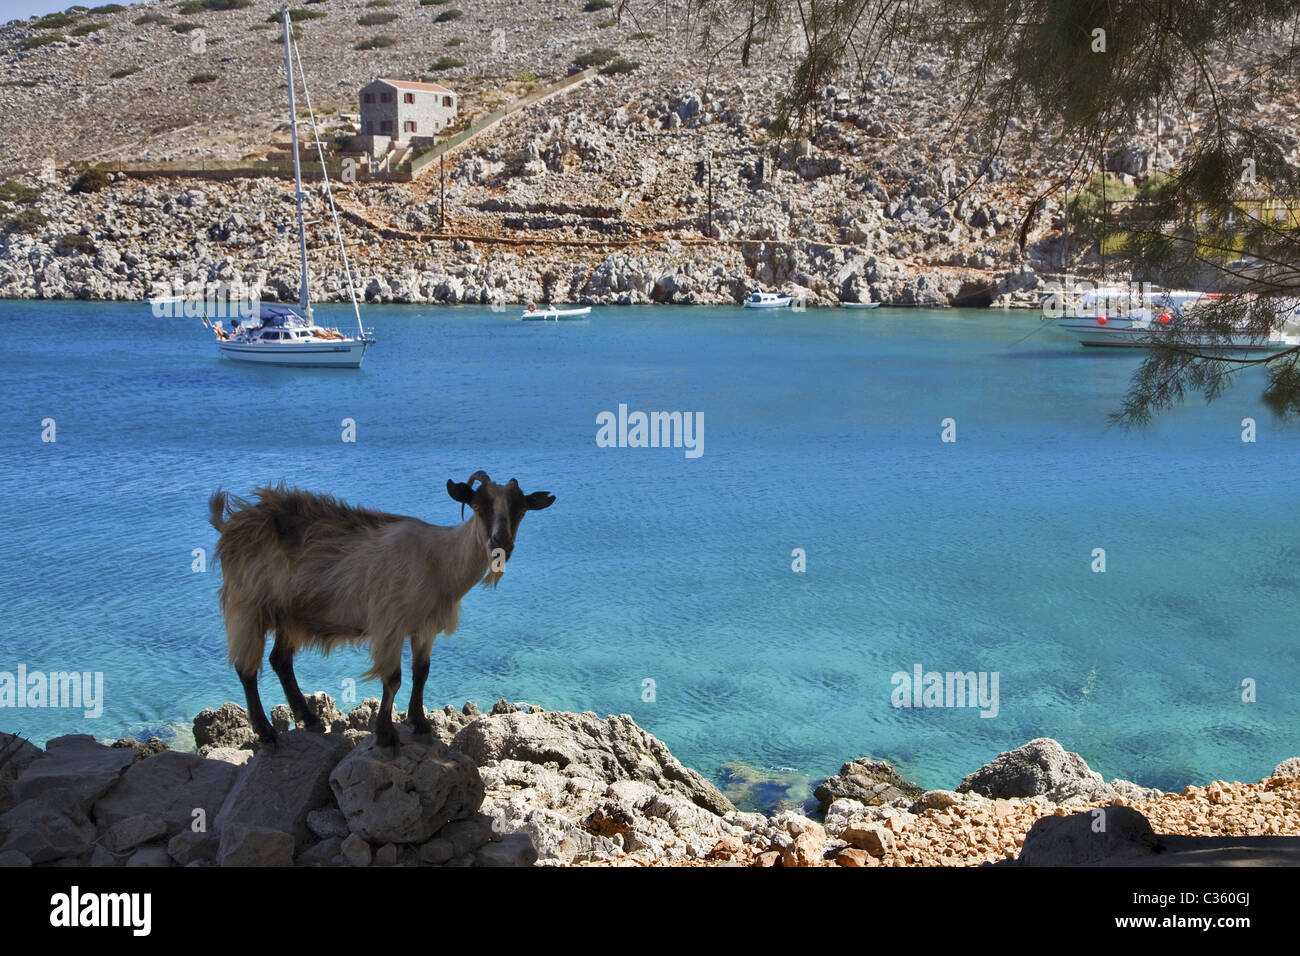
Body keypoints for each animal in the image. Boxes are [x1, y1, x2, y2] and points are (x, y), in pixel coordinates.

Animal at [208, 472, 555, 749]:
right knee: (247, 669)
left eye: (521, 508)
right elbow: (393, 678)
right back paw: (267, 732)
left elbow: (421, 672)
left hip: (289, 614)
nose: (500, 544)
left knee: (280, 660)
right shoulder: (390, 624)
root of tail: (232, 523)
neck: (439, 561)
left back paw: (311, 720)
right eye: (478, 506)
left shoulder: (424, 627)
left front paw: (420, 723)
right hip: (248, 605)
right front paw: (386, 734)